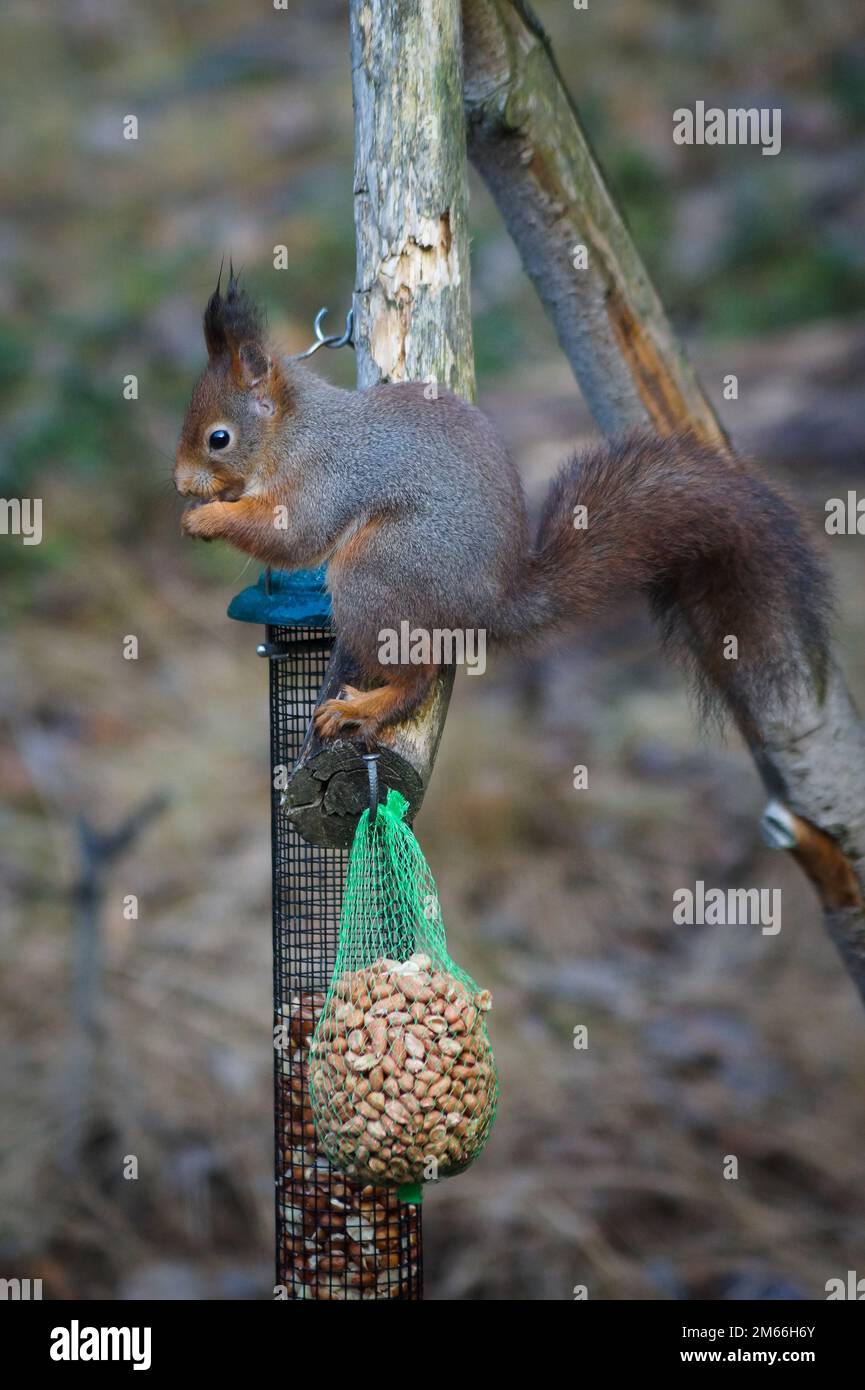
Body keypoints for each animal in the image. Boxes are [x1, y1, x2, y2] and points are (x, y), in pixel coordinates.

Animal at [175, 273, 830, 744]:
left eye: (218, 439)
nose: (181, 485)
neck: (291, 431)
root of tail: (490, 600)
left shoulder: (325, 476)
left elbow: (294, 536)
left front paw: (208, 518)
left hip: (379, 568)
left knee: (417, 676)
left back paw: (368, 705)